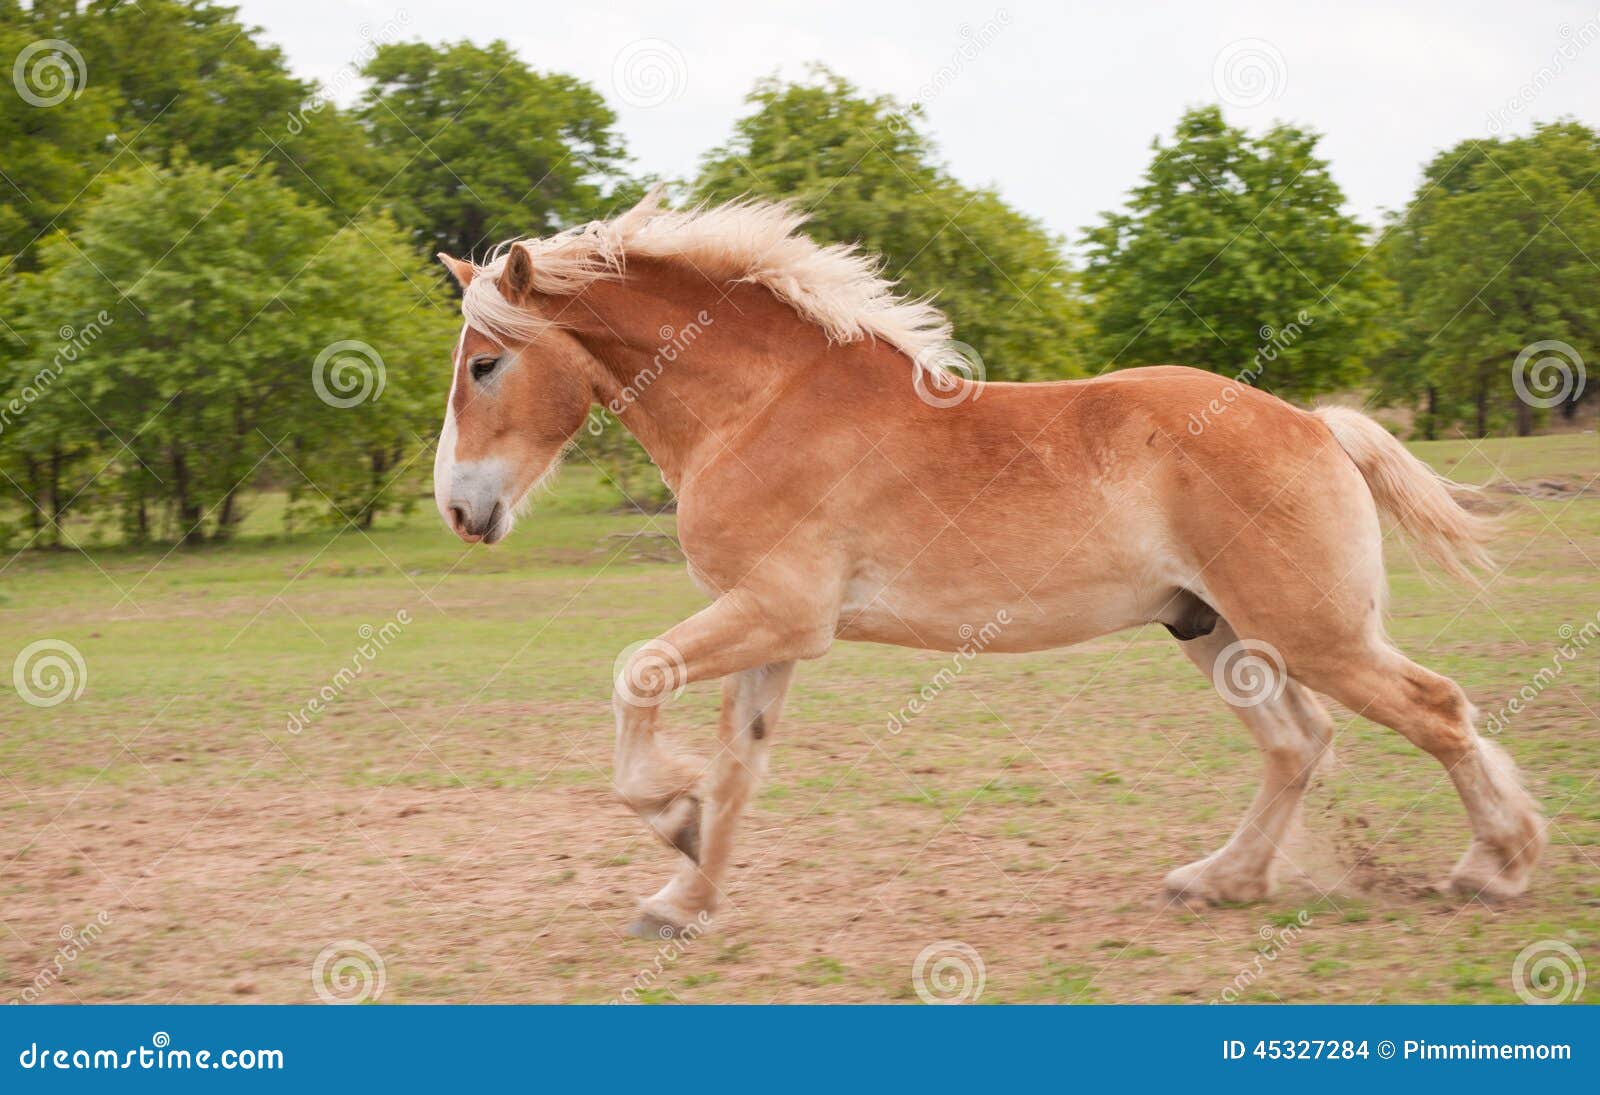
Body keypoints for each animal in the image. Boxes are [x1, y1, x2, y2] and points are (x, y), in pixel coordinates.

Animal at [431, 187, 1545, 938]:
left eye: (485, 363)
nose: (459, 508)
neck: (761, 405)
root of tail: (1316, 425)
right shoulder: (769, 630)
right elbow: (738, 766)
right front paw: (686, 889)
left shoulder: (779, 614)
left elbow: (637, 676)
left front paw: (669, 819)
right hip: (1214, 629)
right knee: (1297, 745)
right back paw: (1218, 880)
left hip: (1312, 633)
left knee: (1435, 711)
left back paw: (1495, 869)